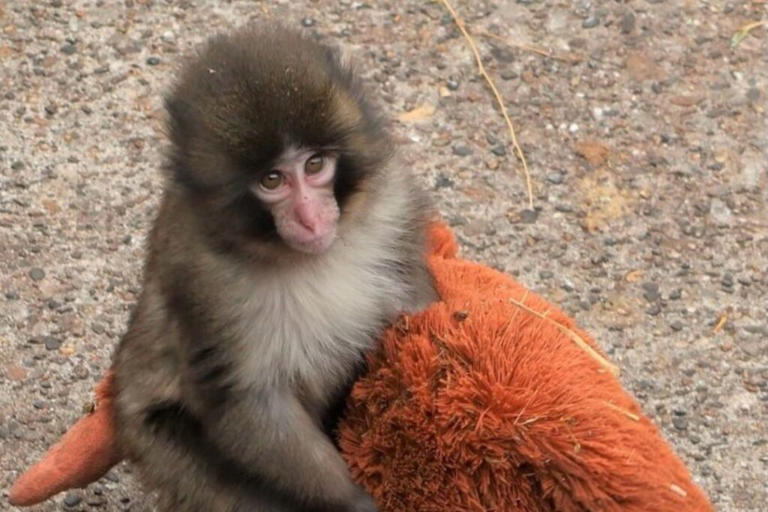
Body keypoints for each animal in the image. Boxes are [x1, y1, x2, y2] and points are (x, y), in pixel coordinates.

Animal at [111, 24, 437, 512]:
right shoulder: (204, 280)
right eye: (272, 180)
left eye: (315, 165)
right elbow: (247, 400)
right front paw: (355, 501)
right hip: (158, 445)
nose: (311, 218)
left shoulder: (392, 204)